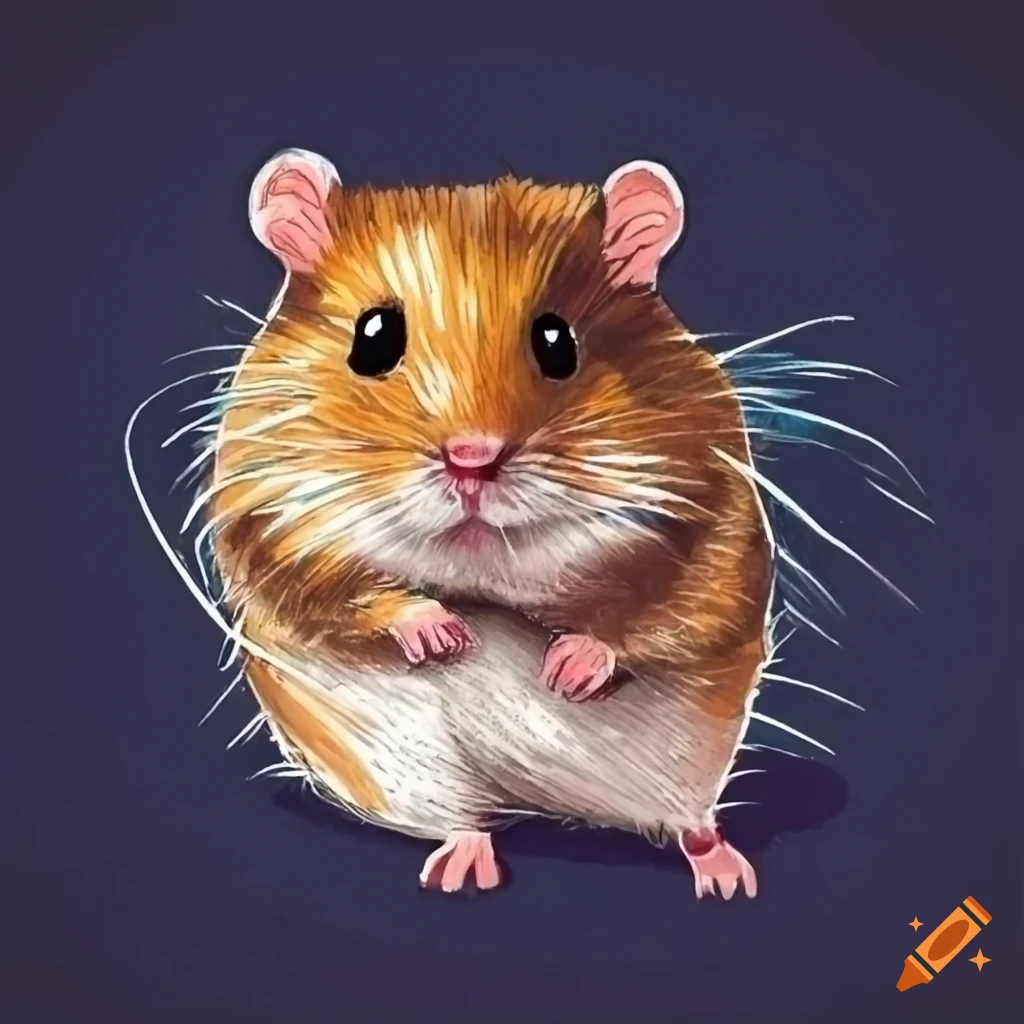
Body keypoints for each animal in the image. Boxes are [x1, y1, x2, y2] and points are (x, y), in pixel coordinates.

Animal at [205, 148, 773, 899]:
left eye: (558, 342)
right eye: (372, 338)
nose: (471, 459)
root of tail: (539, 798)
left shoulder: (722, 516)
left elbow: (673, 605)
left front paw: (567, 672)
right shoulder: (259, 515)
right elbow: (328, 587)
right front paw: (446, 636)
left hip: (688, 767)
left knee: (690, 821)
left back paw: (728, 878)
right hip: (405, 774)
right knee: (466, 818)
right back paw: (460, 872)